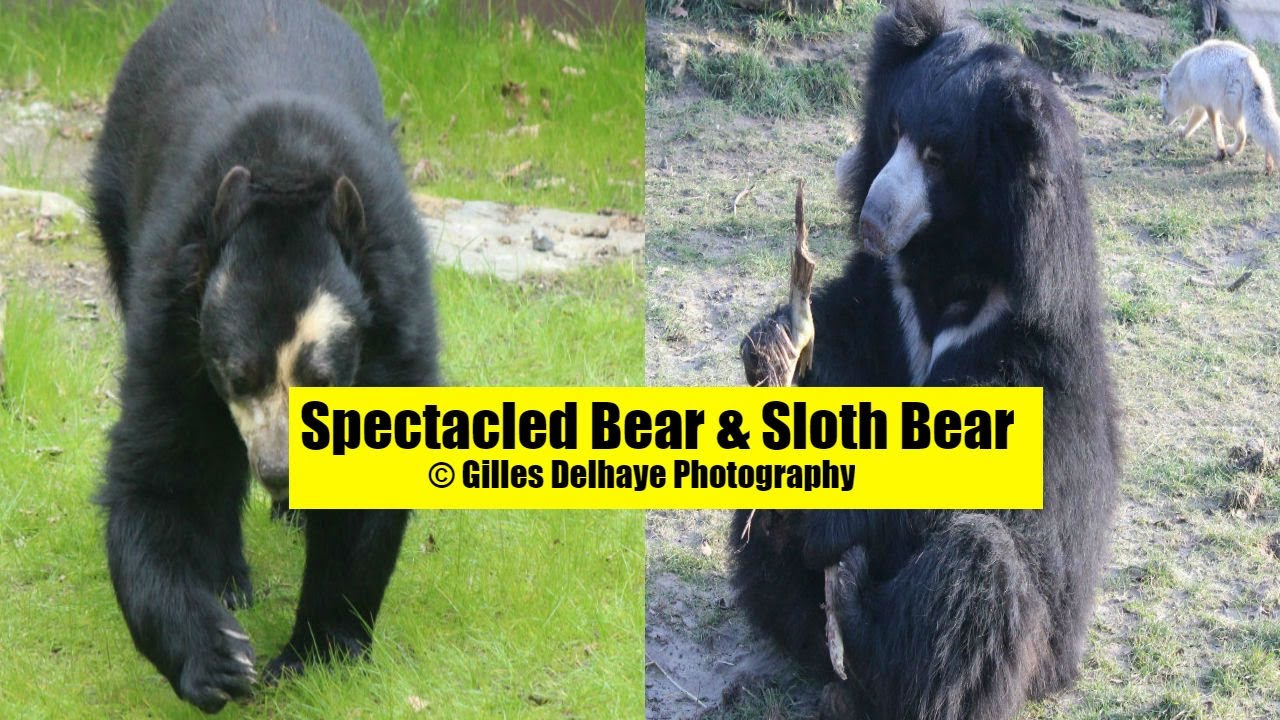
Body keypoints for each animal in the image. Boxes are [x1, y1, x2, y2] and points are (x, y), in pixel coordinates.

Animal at [89, 0, 438, 712]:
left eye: (323, 380)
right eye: (237, 376)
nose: (281, 471)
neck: (285, 168)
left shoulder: (394, 322)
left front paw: (314, 656)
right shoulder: (171, 323)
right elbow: (161, 473)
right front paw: (222, 656)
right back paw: (229, 580)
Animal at [733, 2, 1121, 719]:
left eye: (939, 155)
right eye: (893, 131)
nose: (872, 220)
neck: (947, 269)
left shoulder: (1022, 352)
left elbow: (956, 464)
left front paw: (833, 520)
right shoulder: (887, 300)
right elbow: (842, 351)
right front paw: (774, 347)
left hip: (1034, 644)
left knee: (974, 572)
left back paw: (859, 619)